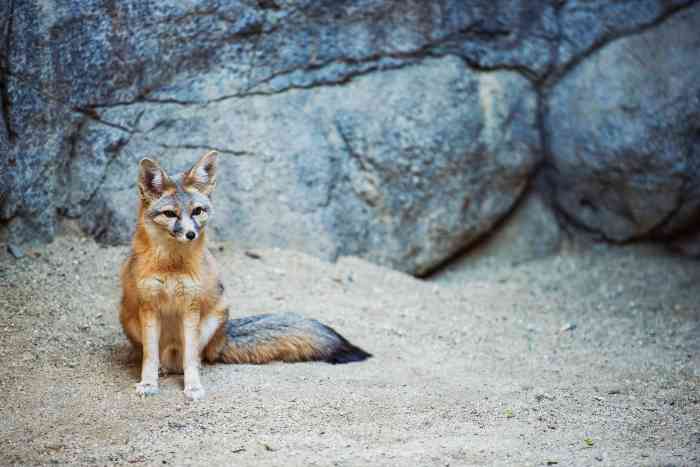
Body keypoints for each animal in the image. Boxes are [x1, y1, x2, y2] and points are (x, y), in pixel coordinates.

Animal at [120, 151, 370, 400]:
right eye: (170, 214)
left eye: (197, 211)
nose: (191, 234)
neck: (172, 265)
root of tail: (223, 337)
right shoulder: (149, 306)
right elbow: (150, 357)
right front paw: (148, 384)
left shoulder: (190, 308)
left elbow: (190, 358)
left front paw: (193, 387)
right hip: (129, 317)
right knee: (159, 358)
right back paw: (162, 369)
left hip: (214, 316)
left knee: (194, 358)